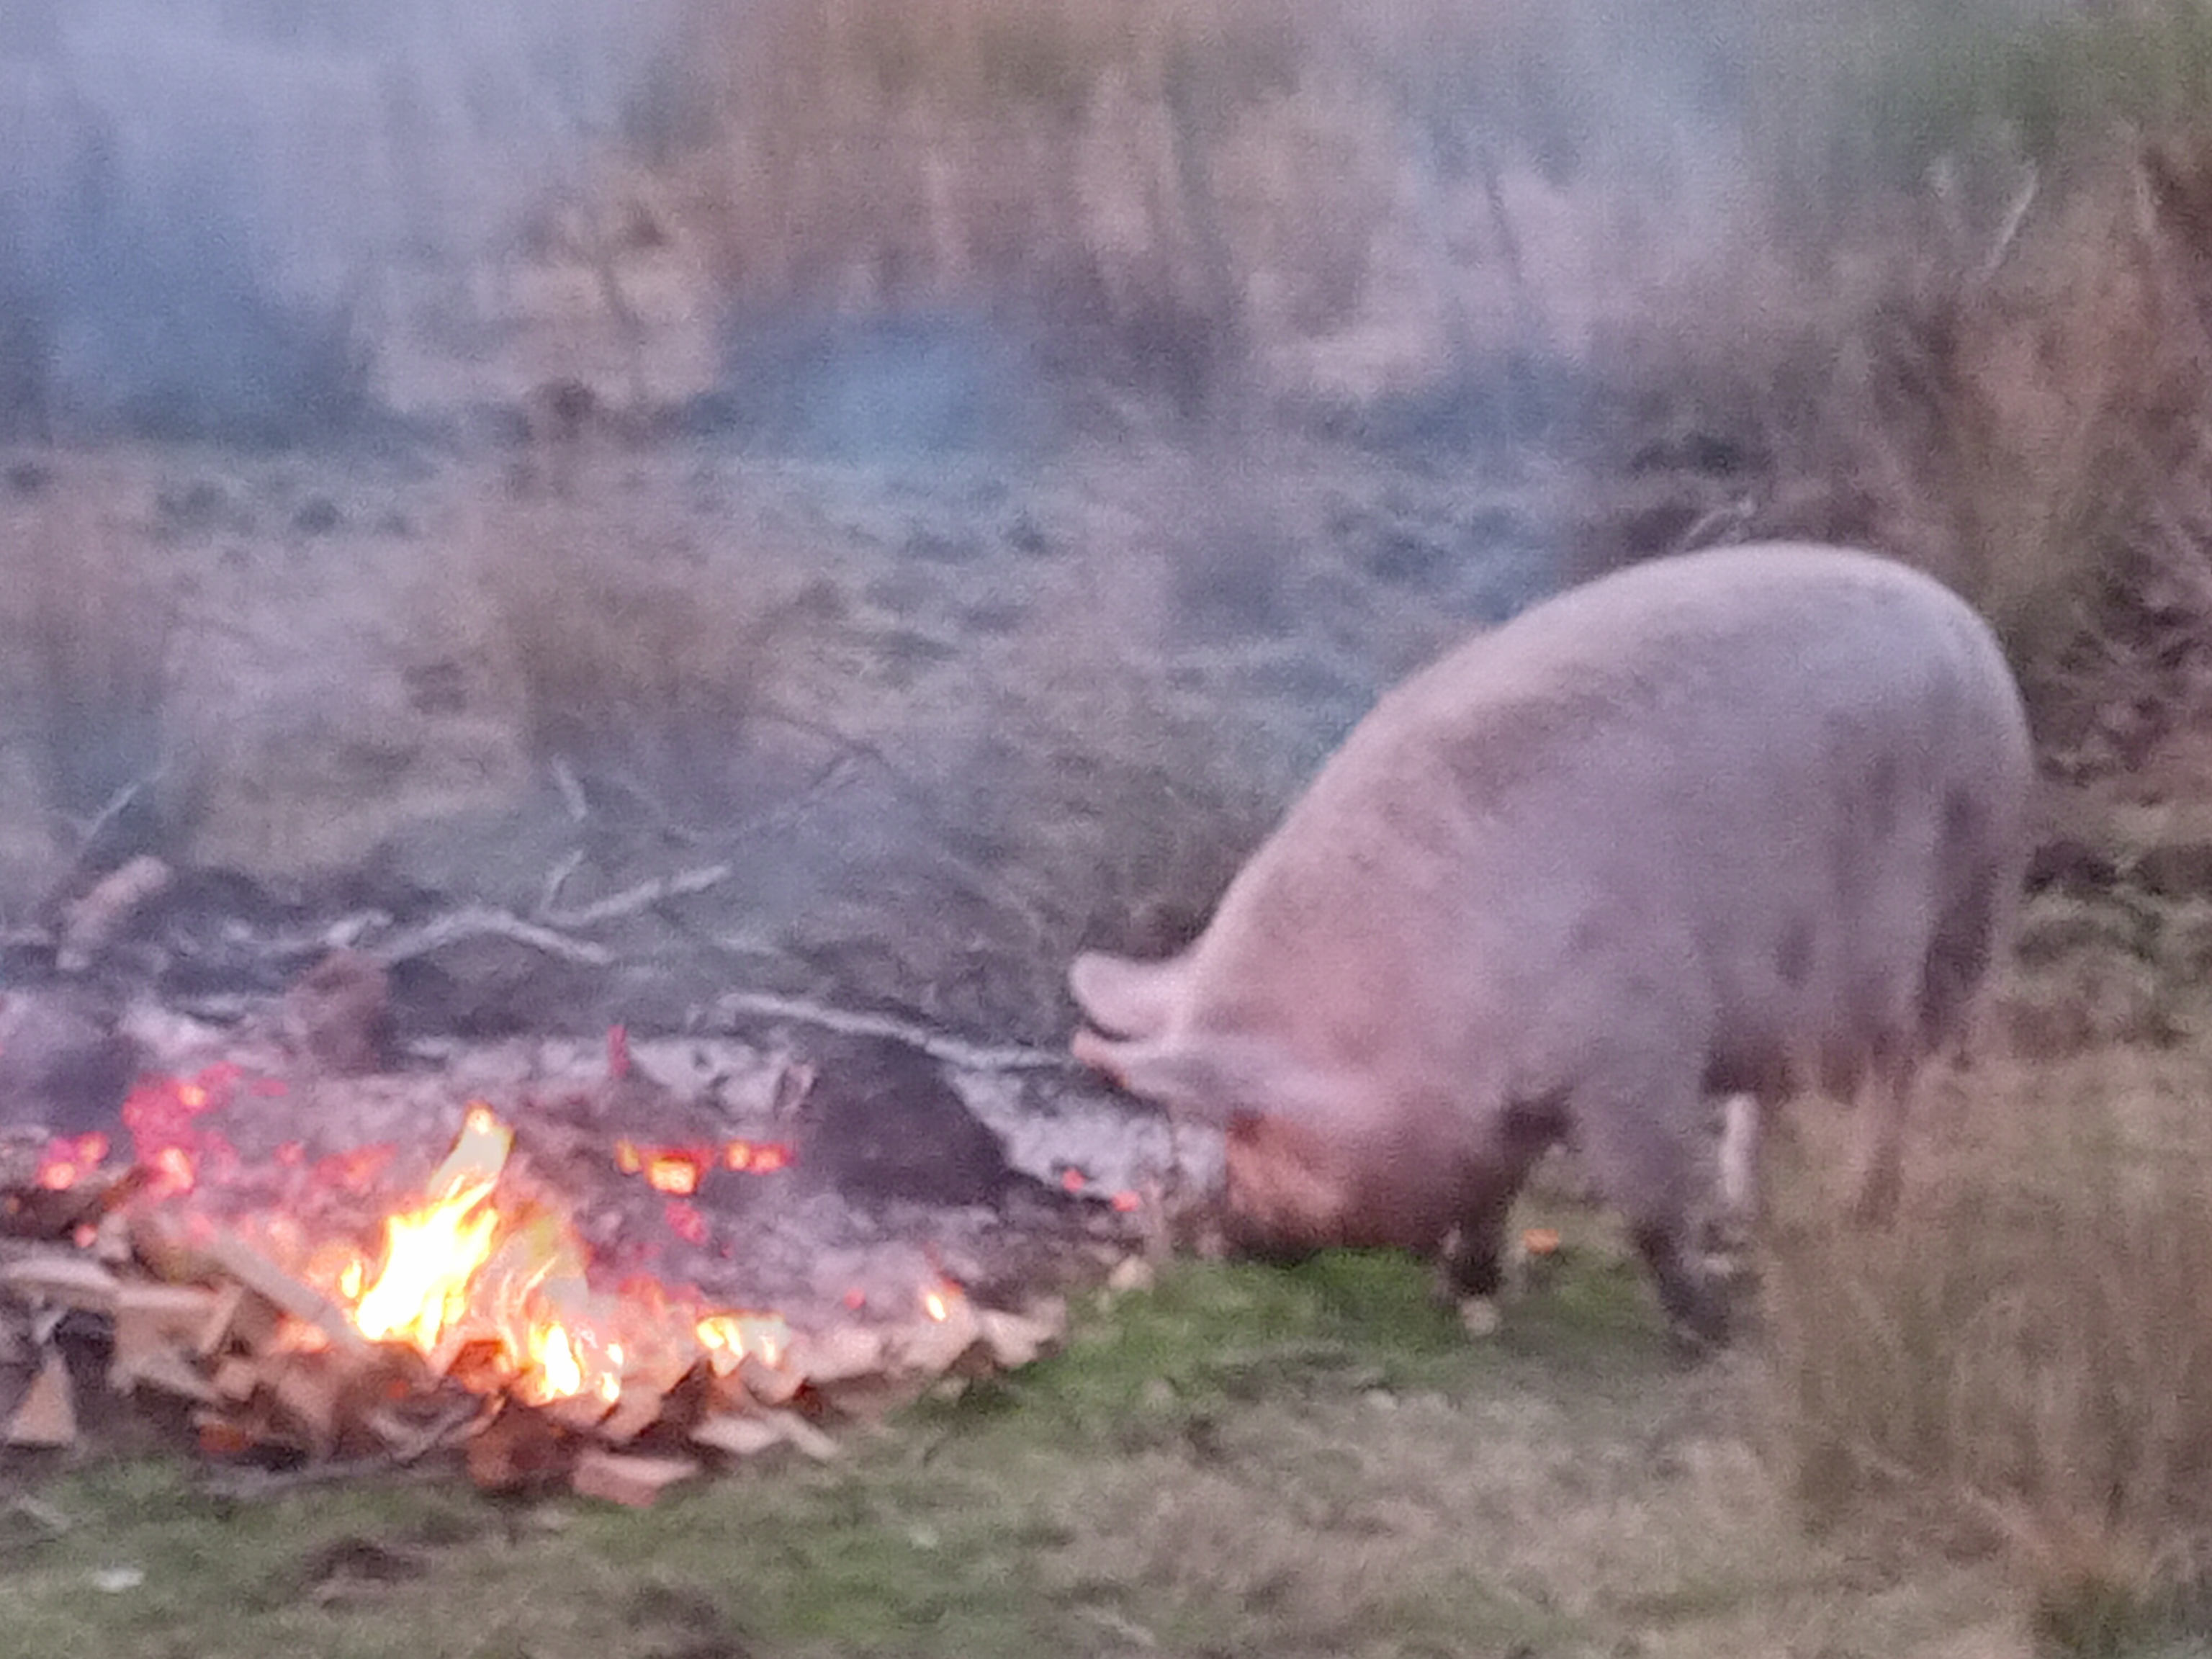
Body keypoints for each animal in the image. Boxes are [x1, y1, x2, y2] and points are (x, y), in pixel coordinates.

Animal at [1068, 543, 2033, 1343]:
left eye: (1257, 1137)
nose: (1221, 1238)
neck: (1419, 997)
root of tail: (1963, 619)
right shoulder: (1507, 1103)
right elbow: (1494, 1189)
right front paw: (1463, 1291)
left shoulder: (1640, 1045)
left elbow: (1648, 1201)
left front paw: (1709, 1331)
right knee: (1768, 1099)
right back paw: (1745, 1212)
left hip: (1970, 897)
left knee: (1905, 1071)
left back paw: (1866, 1210)